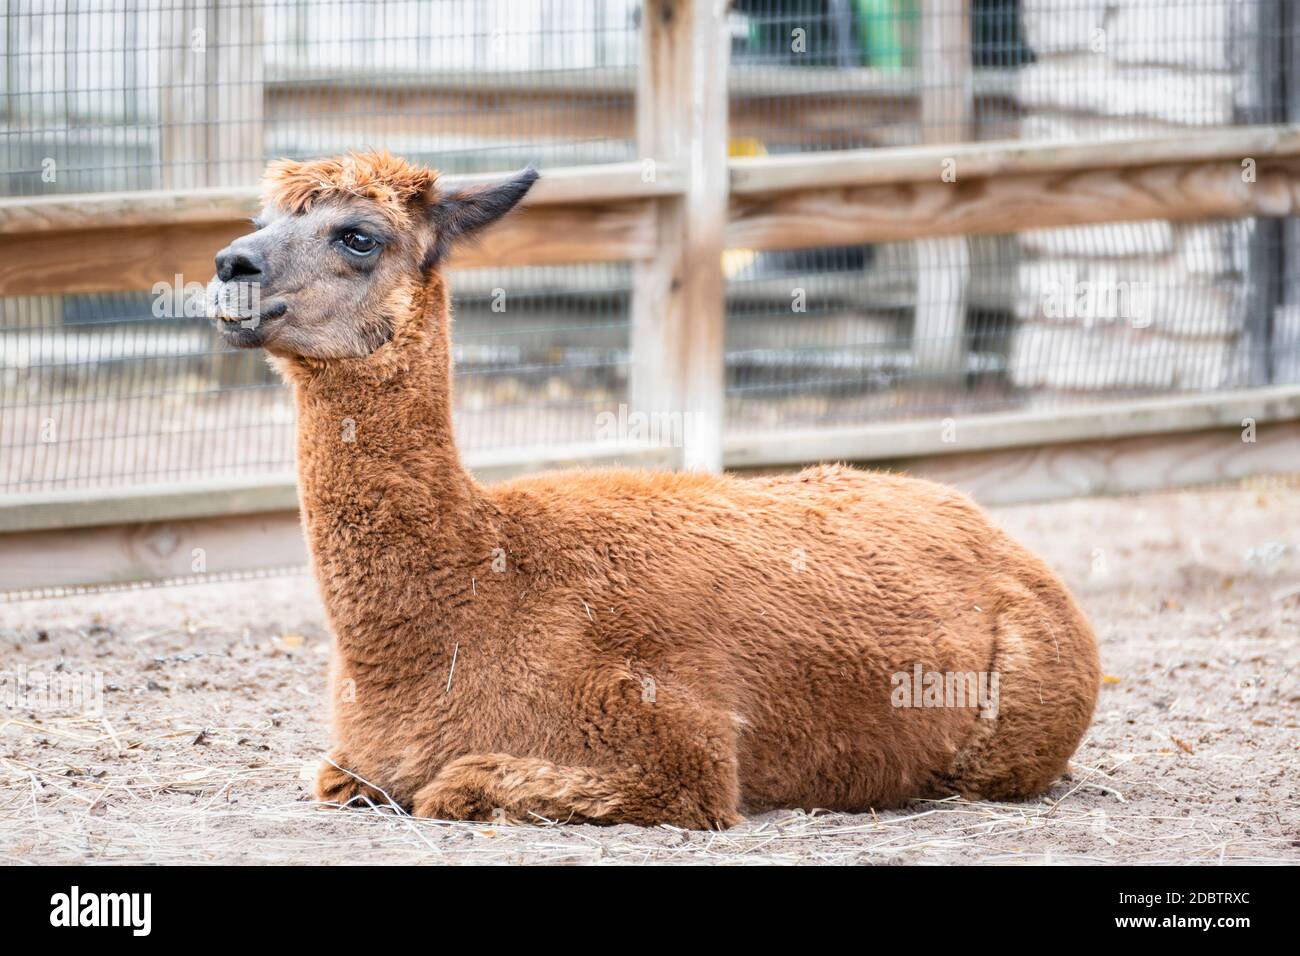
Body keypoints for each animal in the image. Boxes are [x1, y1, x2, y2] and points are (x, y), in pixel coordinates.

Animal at [209, 151, 1100, 828]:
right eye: (264, 217)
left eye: (359, 236)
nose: (230, 267)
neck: (480, 590)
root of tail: (996, 532)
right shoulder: (353, 761)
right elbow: (342, 778)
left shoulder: (675, 744)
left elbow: (453, 785)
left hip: (1015, 728)